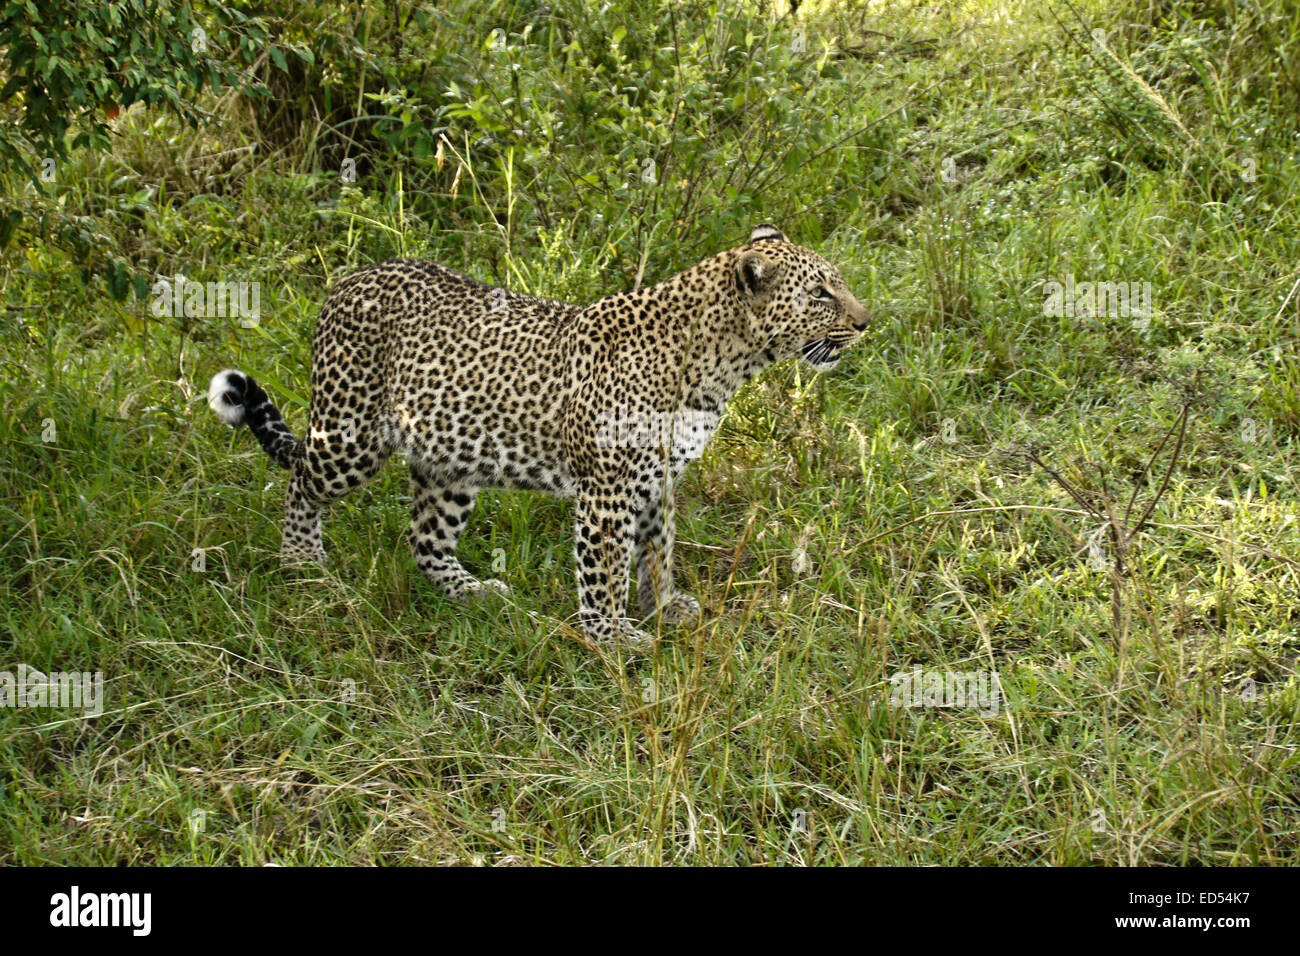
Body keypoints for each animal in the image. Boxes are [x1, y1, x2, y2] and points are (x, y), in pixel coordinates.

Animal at [207, 224, 870, 646]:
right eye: (820, 293)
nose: (867, 322)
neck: (722, 365)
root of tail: (345, 280)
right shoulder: (608, 487)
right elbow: (605, 568)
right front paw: (611, 635)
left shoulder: (658, 478)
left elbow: (658, 549)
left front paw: (664, 606)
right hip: (350, 434)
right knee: (300, 482)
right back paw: (301, 562)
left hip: (450, 461)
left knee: (424, 538)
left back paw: (472, 592)